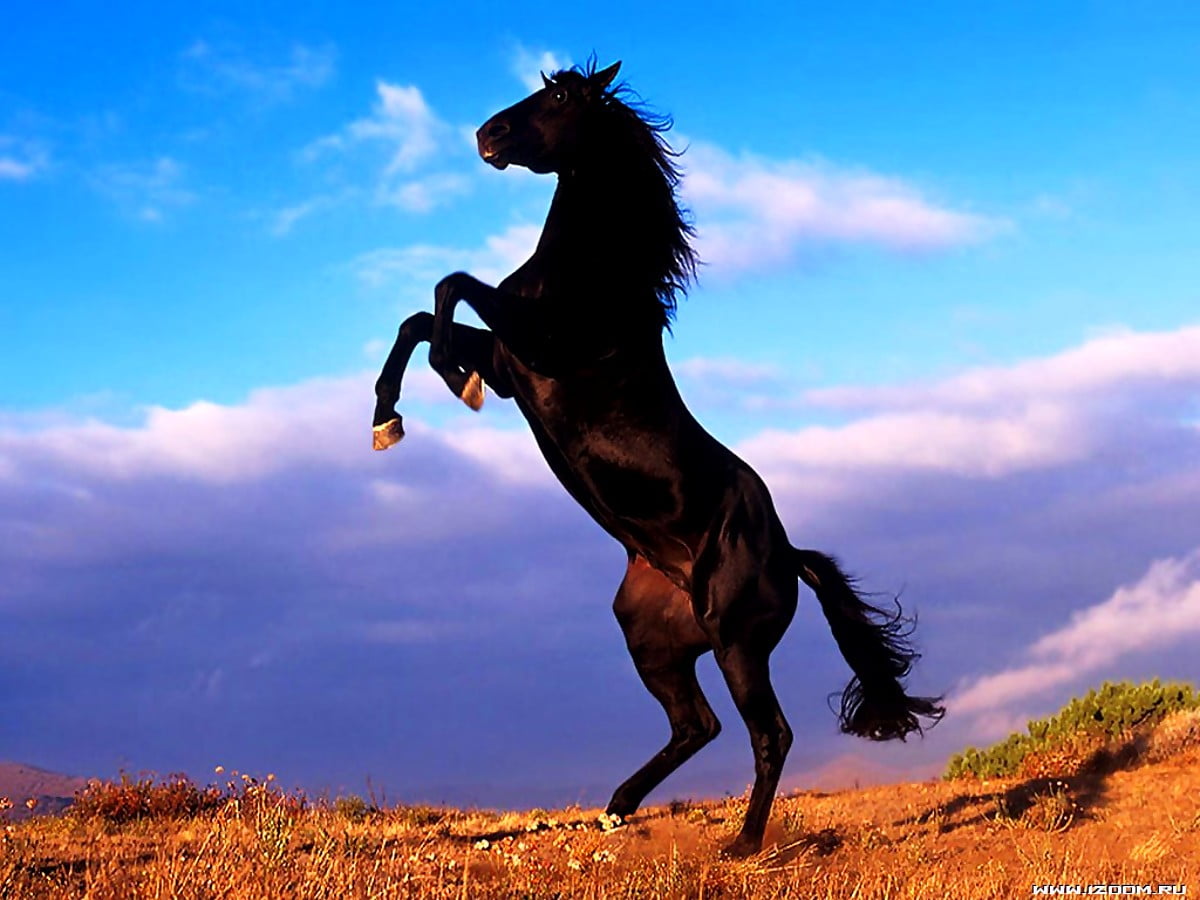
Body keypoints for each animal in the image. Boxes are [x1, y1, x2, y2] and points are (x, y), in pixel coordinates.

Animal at [370, 60, 943, 857]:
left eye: (559, 97)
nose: (487, 135)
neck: (593, 273)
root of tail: (789, 553)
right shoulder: (517, 365)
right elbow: (419, 320)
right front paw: (388, 417)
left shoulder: (538, 345)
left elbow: (450, 289)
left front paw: (454, 382)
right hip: (653, 640)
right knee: (696, 725)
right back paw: (616, 808)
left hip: (736, 644)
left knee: (769, 733)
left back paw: (742, 844)